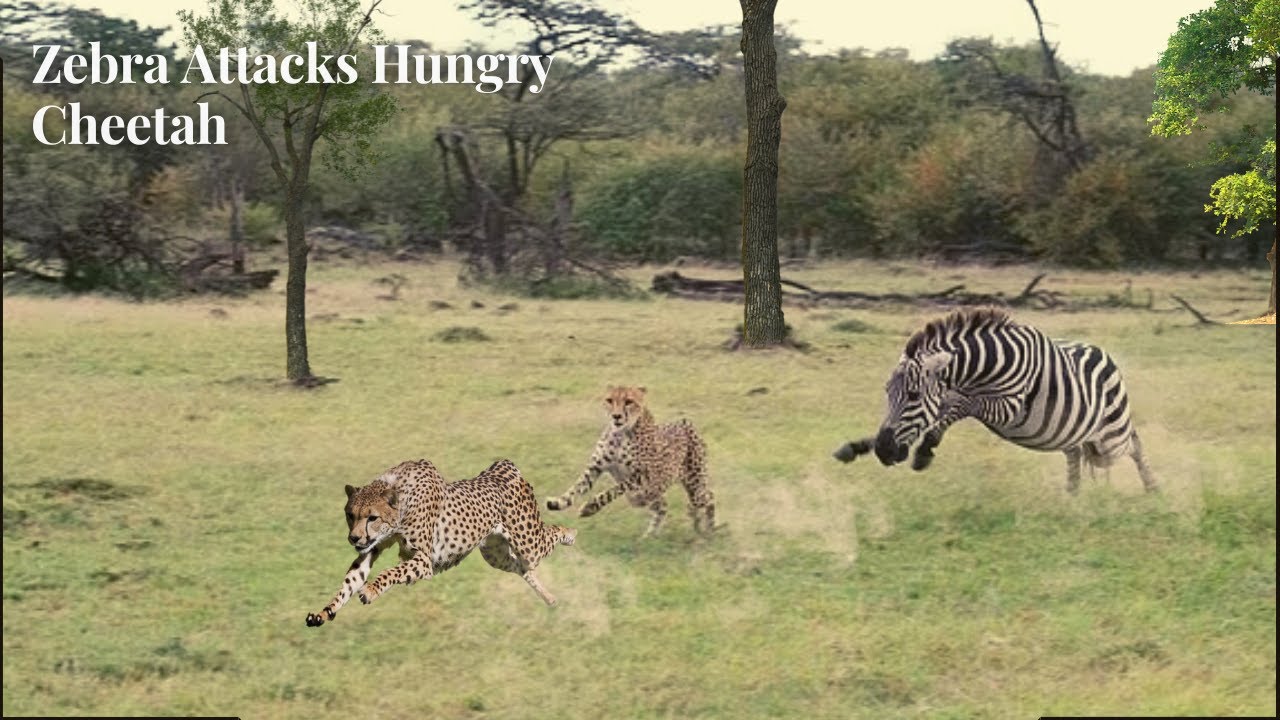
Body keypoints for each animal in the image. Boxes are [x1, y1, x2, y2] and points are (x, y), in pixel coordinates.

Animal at [305, 458, 576, 627]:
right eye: (350, 514)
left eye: (372, 517)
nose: (354, 537)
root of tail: (502, 466)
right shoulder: (371, 549)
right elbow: (350, 582)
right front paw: (324, 613)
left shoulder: (423, 561)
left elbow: (389, 573)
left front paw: (371, 591)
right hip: (495, 554)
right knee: (522, 567)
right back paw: (550, 598)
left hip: (528, 543)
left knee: (549, 536)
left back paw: (571, 534)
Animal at [544, 386, 716, 538]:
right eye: (609, 400)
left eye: (628, 401)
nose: (616, 416)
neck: (620, 434)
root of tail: (685, 422)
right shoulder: (595, 467)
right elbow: (576, 487)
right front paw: (558, 502)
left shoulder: (644, 475)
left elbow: (614, 489)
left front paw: (590, 507)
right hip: (646, 496)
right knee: (663, 506)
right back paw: (649, 536)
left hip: (693, 488)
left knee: (709, 497)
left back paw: (709, 528)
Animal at [832, 308, 1157, 493]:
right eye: (887, 392)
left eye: (913, 396)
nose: (885, 451)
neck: (981, 370)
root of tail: (1105, 354)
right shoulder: (946, 399)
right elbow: (933, 417)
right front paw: (857, 446)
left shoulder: (1011, 407)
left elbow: (964, 406)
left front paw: (925, 449)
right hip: (1073, 434)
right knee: (1075, 455)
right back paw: (1072, 496)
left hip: (1109, 439)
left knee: (1135, 443)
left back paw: (1153, 488)